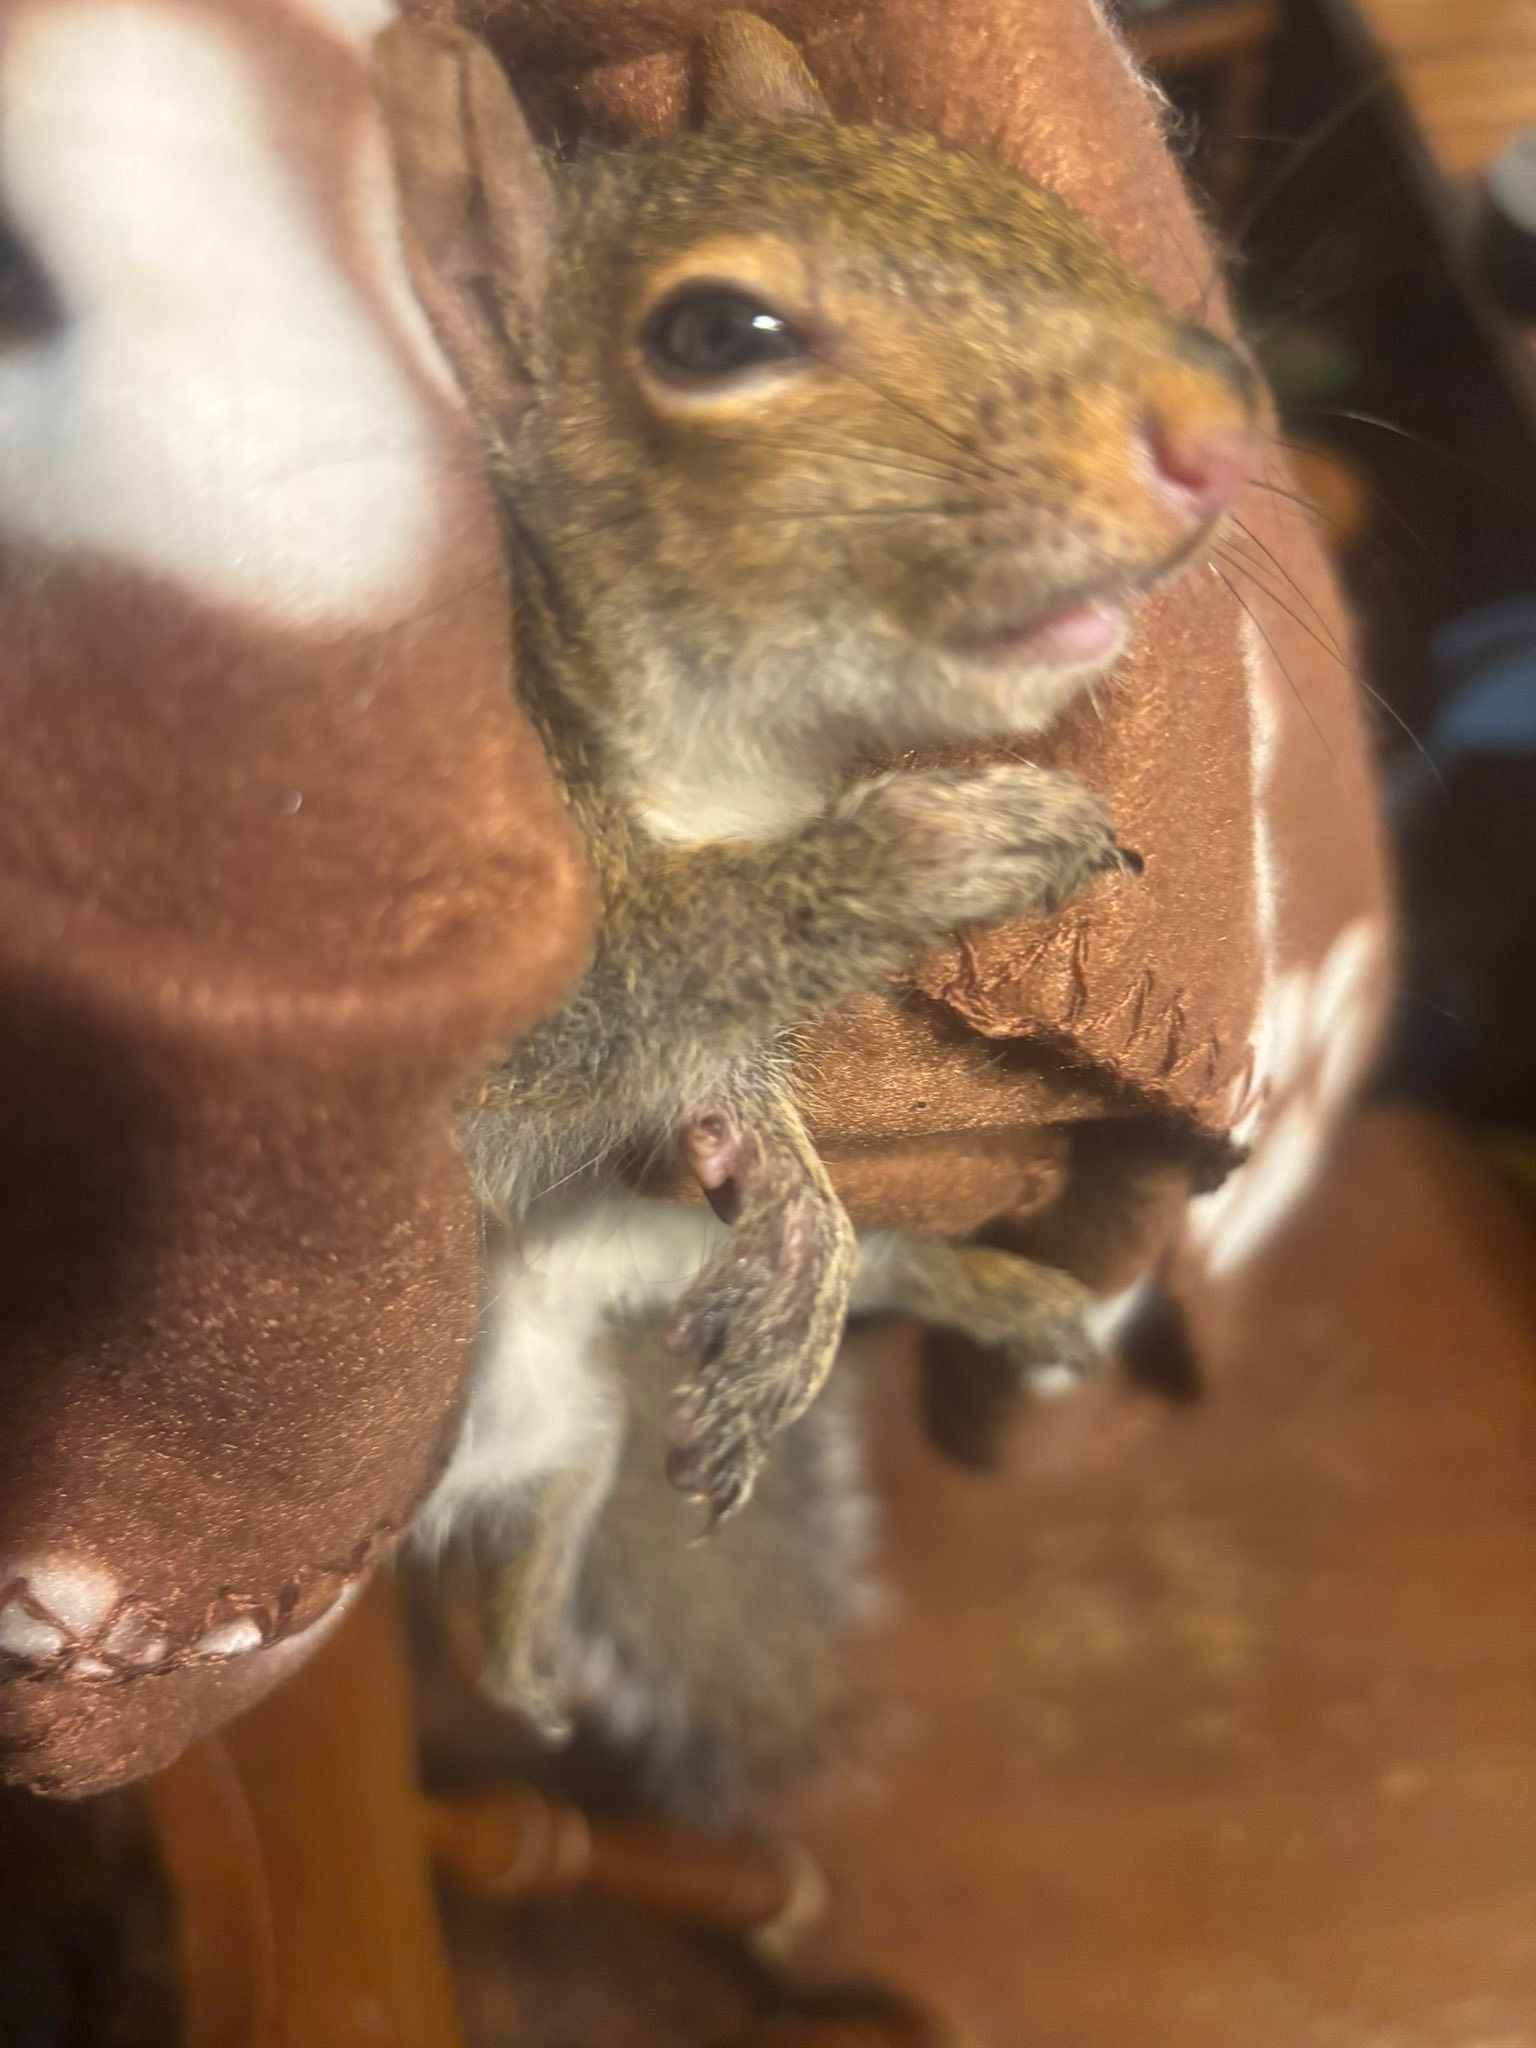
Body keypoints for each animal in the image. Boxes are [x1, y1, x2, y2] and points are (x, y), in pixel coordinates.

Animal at [375, 12, 1258, 1739]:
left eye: (1018, 198)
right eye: (718, 333)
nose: (1218, 430)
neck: (728, 760)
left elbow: (726, 1076)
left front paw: (793, 1199)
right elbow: (672, 964)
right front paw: (956, 841)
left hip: (620, 1279)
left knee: (593, 1451)